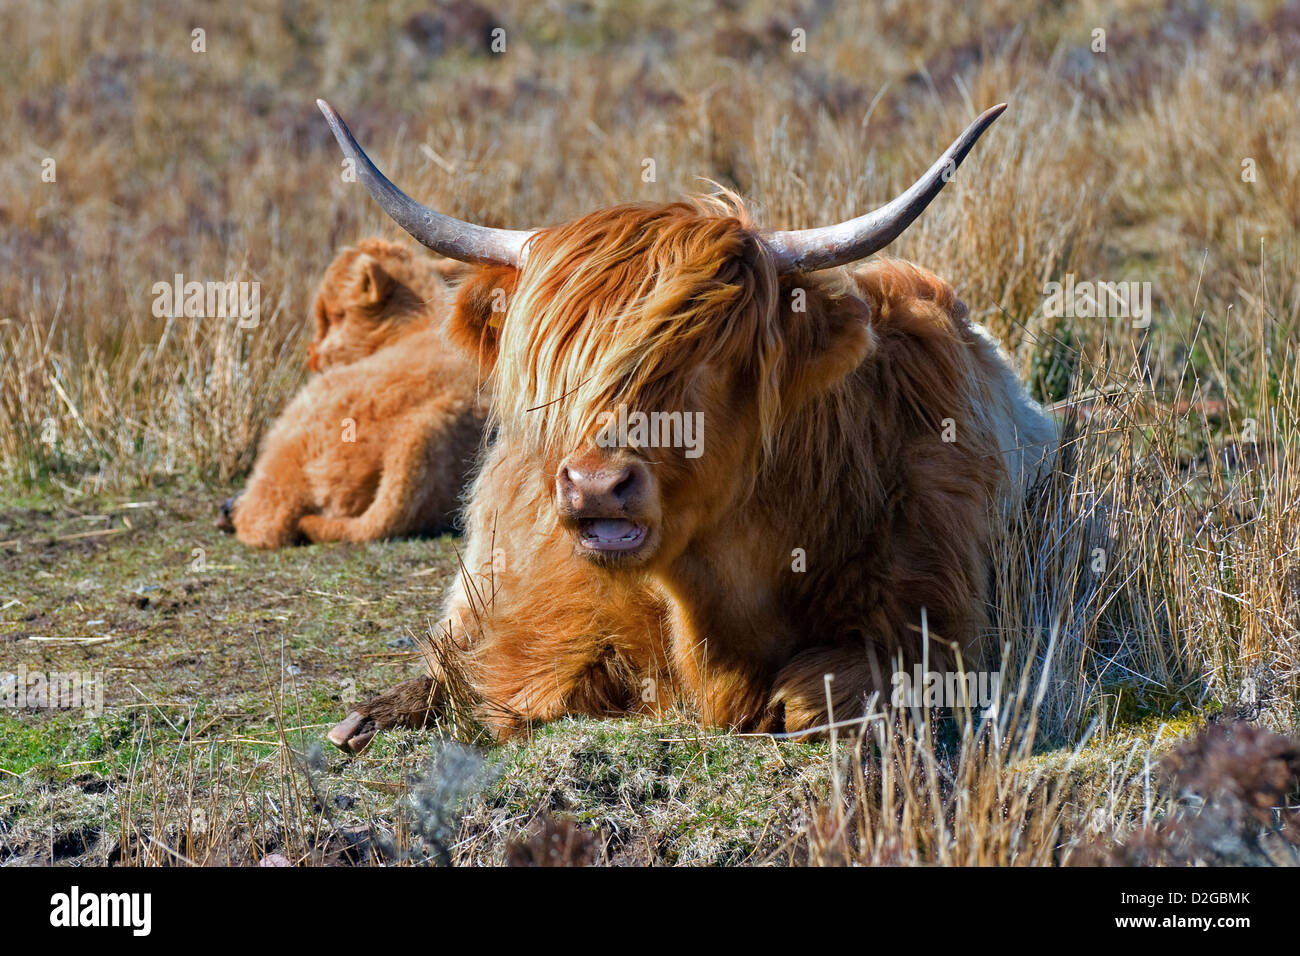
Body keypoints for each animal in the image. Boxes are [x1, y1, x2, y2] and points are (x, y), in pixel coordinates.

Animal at [315, 99, 1057, 750]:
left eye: (707, 358)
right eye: (557, 369)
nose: (595, 486)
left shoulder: (939, 624)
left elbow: (820, 690)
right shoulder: (547, 624)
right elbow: (523, 677)